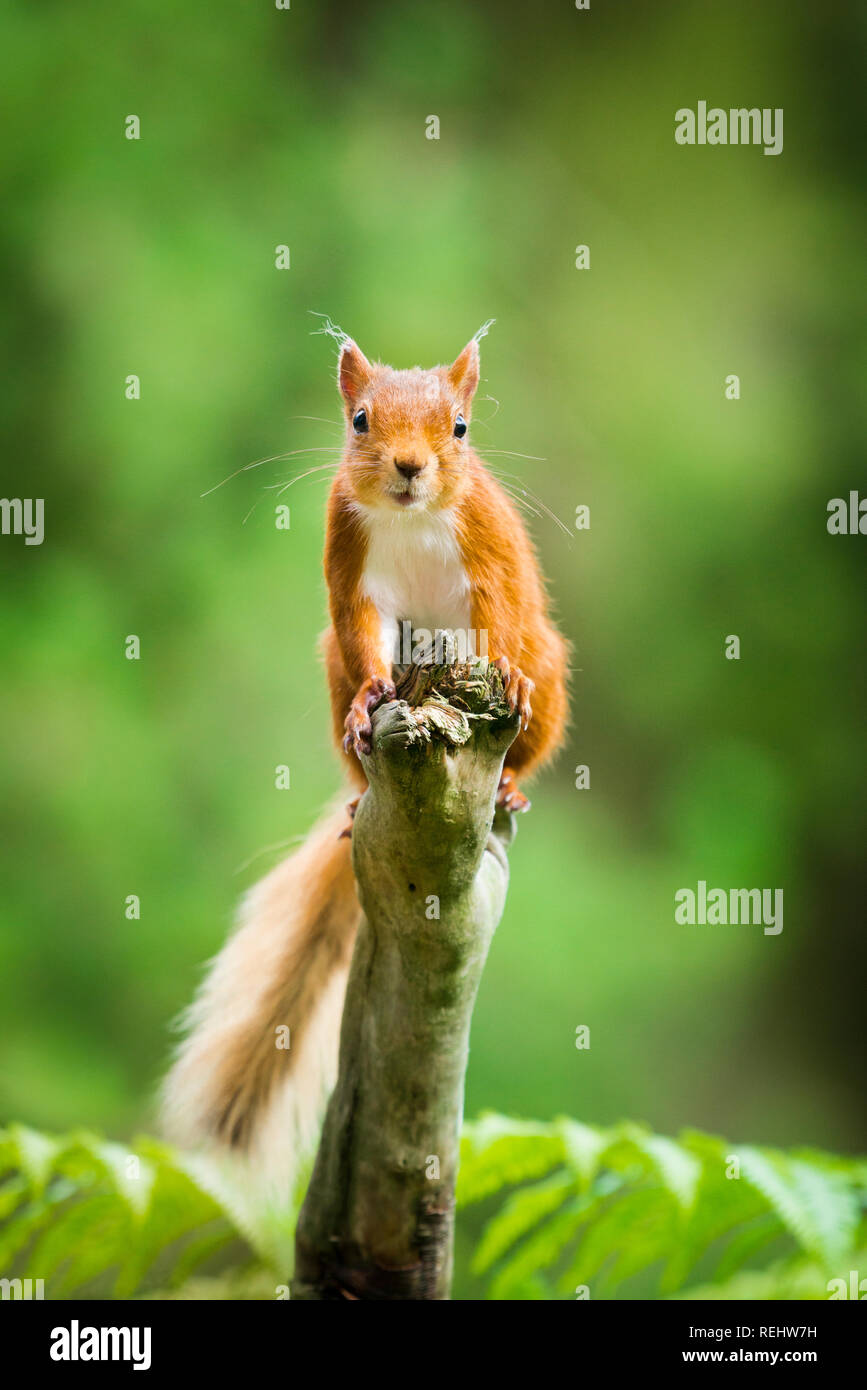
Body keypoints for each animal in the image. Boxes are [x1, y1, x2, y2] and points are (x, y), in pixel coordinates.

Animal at [161, 331, 569, 1185]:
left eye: (459, 429)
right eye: (358, 420)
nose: (410, 468)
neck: (410, 522)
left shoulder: (488, 552)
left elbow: (500, 613)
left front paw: (504, 675)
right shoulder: (349, 565)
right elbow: (360, 632)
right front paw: (366, 704)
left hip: (551, 668)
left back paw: (511, 785)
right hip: (328, 667)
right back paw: (356, 795)